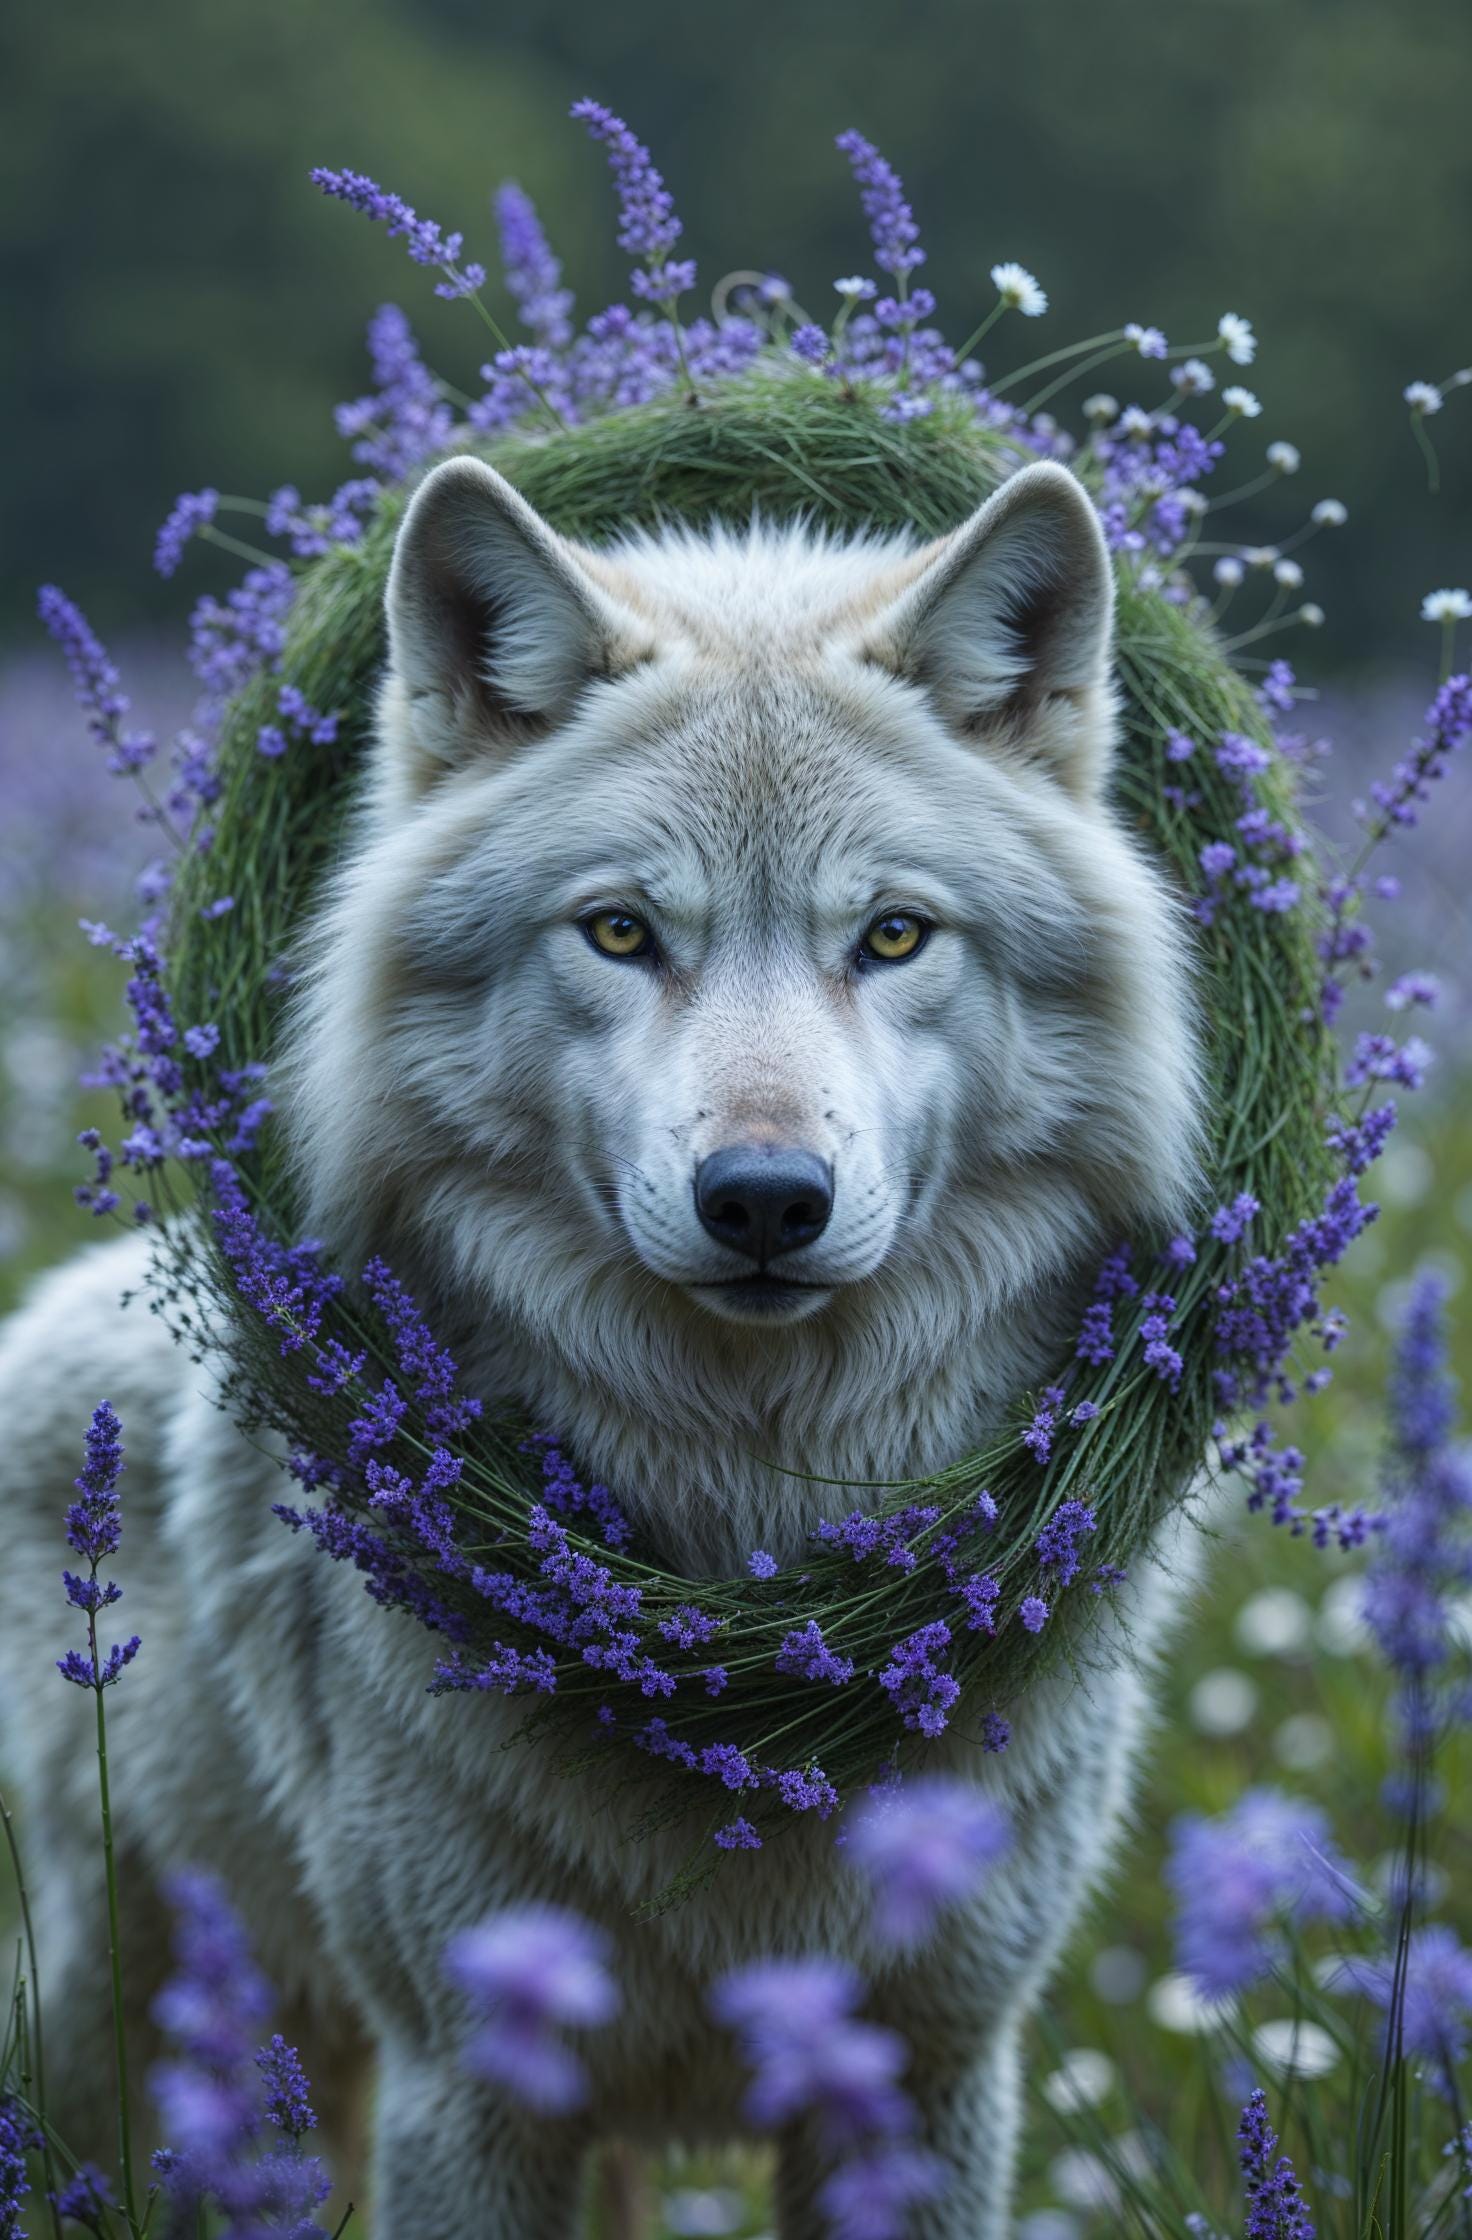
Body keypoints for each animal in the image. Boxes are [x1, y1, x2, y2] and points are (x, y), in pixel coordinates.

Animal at [0, 452, 1202, 2236]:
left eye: (894, 938)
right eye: (623, 934)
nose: (764, 1200)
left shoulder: (933, 2076)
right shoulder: (470, 2088)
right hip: (161, 2051)